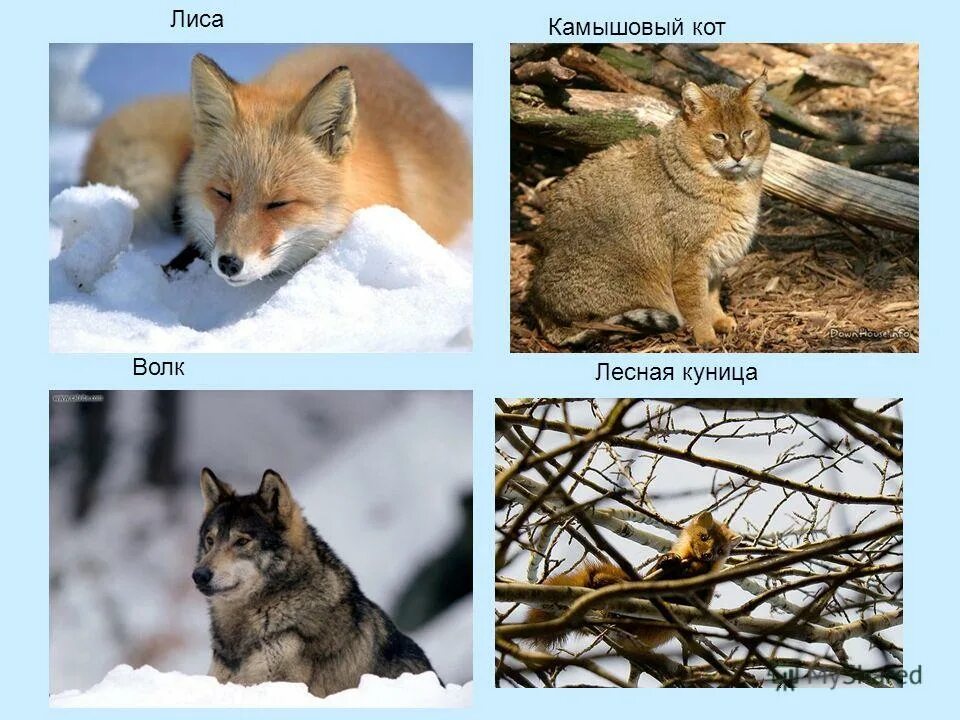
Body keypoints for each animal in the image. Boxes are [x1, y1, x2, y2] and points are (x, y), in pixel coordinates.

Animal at [526, 511, 742, 650]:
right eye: (704, 536)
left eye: (721, 550)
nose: (707, 555)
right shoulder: (652, 576)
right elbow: (654, 575)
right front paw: (669, 559)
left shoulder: (706, 593)